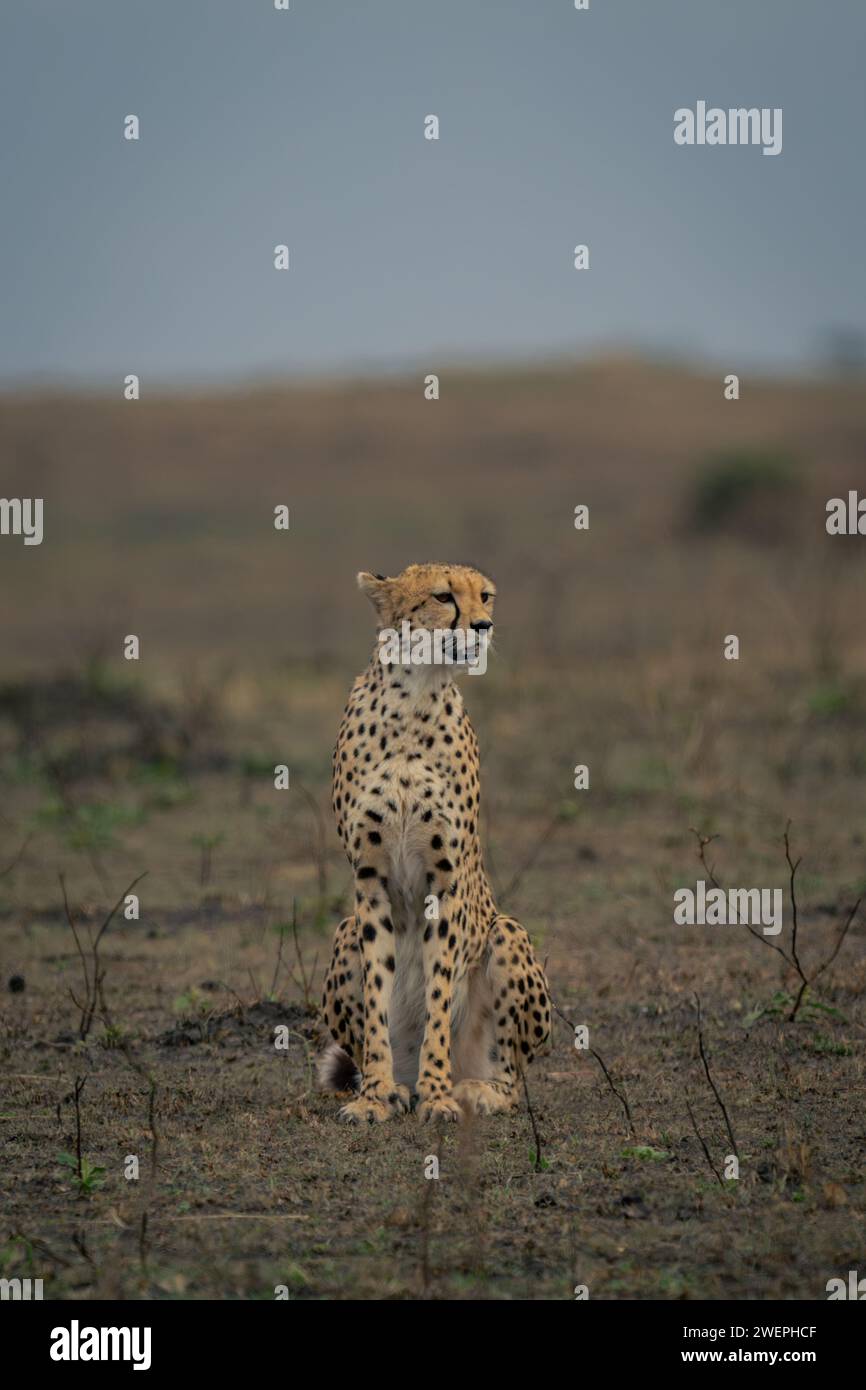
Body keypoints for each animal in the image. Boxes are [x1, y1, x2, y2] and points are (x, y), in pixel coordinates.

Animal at [318, 562, 551, 1123]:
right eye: (444, 597)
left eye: (486, 596)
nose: (484, 626)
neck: (415, 697)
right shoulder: (370, 878)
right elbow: (378, 995)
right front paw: (374, 1096)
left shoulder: (444, 882)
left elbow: (440, 993)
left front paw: (439, 1094)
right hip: (343, 932)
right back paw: (399, 1087)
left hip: (506, 931)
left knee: (512, 1074)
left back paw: (476, 1090)